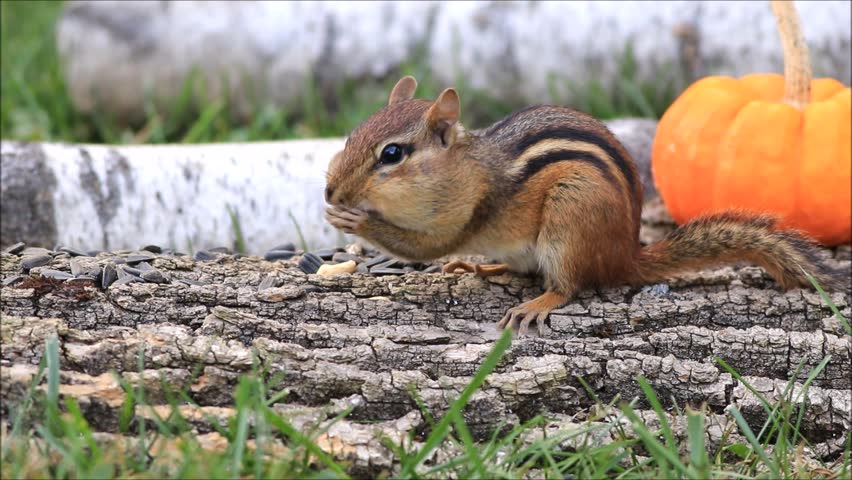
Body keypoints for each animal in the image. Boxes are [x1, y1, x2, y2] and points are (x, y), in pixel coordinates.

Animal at [324, 75, 845, 335]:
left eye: (392, 154)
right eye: (351, 136)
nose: (330, 192)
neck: (464, 167)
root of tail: (623, 255)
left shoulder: (460, 212)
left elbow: (424, 245)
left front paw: (354, 218)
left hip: (569, 220)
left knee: (569, 285)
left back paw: (538, 302)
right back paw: (479, 267)